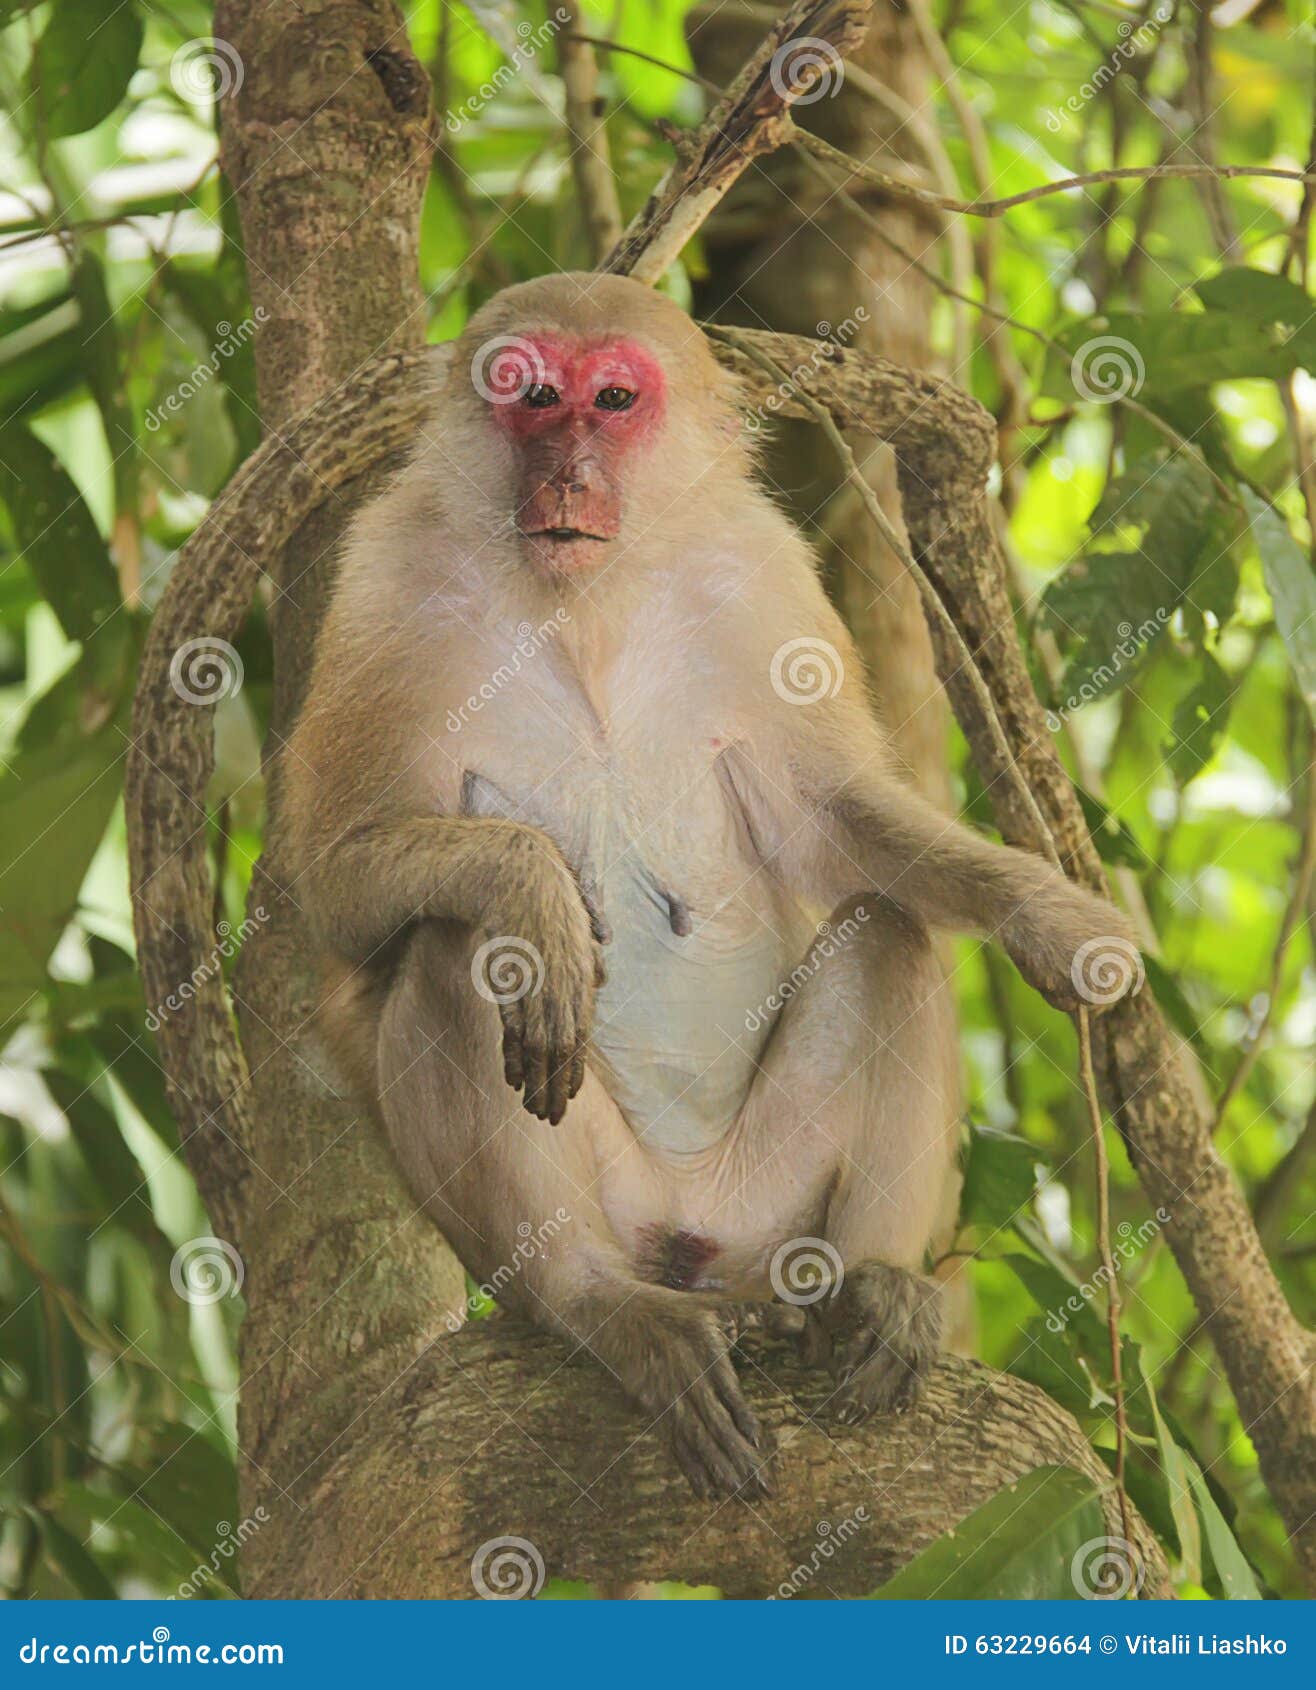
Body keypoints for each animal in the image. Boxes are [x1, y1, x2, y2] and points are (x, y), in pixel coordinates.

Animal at [283, 271, 1140, 1501]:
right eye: (528, 394)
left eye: (611, 399)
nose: (565, 470)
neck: (585, 600)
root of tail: (693, 1241)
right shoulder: (387, 579)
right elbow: (337, 883)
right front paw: (529, 886)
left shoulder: (761, 573)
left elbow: (830, 827)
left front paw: (1041, 909)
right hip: (606, 1216)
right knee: (458, 953)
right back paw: (601, 1299)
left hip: (765, 1214)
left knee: (886, 932)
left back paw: (868, 1292)